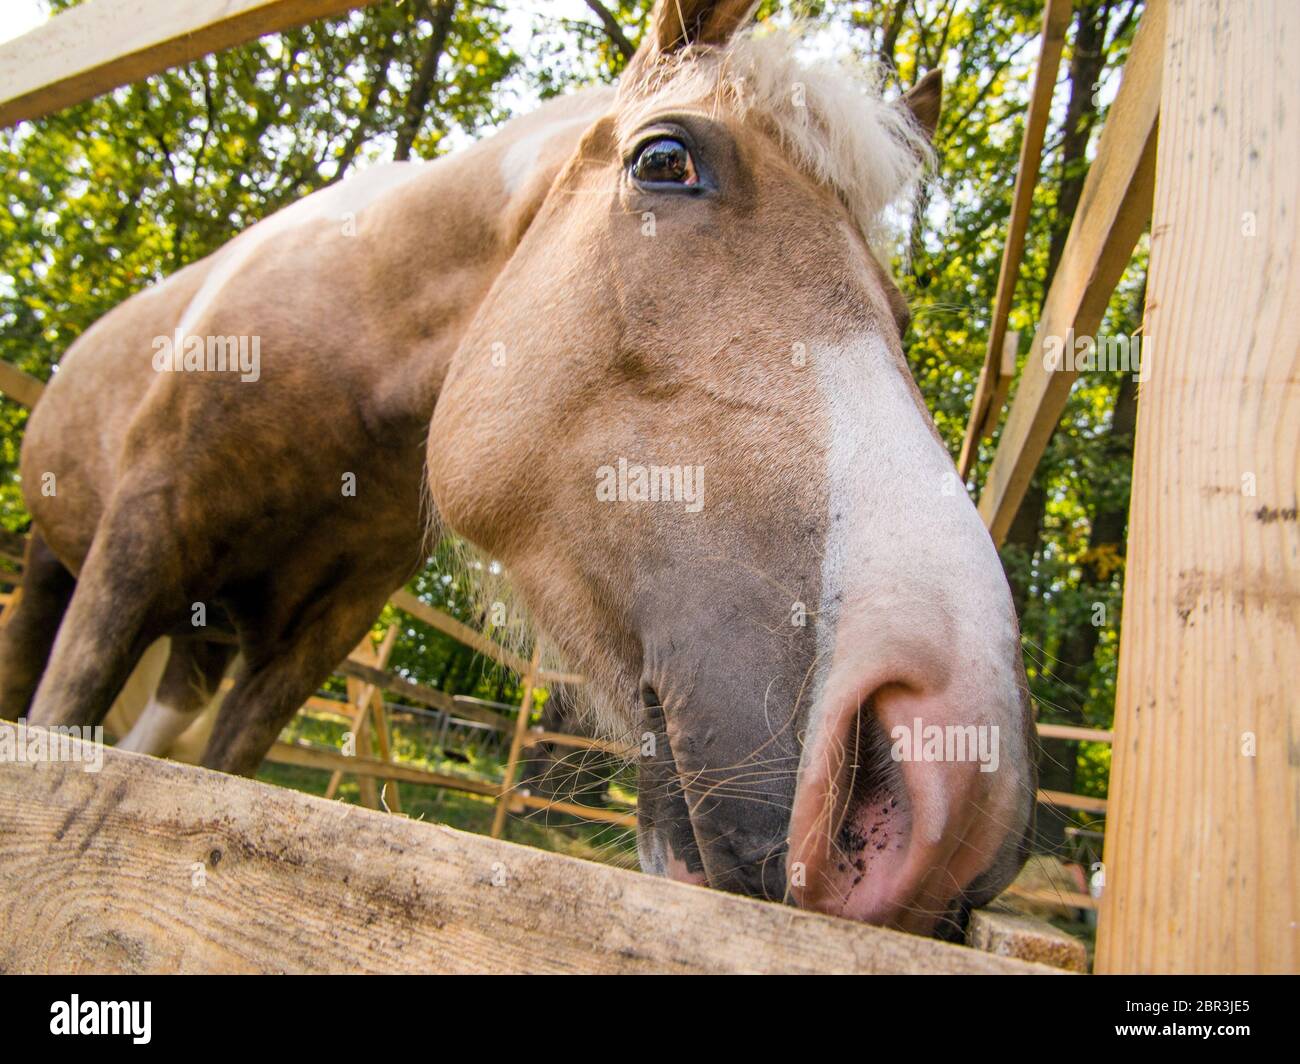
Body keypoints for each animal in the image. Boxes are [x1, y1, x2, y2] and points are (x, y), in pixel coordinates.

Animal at [1, 0, 1035, 936]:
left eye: (899, 304)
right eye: (666, 160)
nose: (952, 772)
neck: (352, 355)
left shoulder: (317, 637)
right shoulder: (135, 547)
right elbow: (52, 744)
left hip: (205, 633)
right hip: (61, 567)